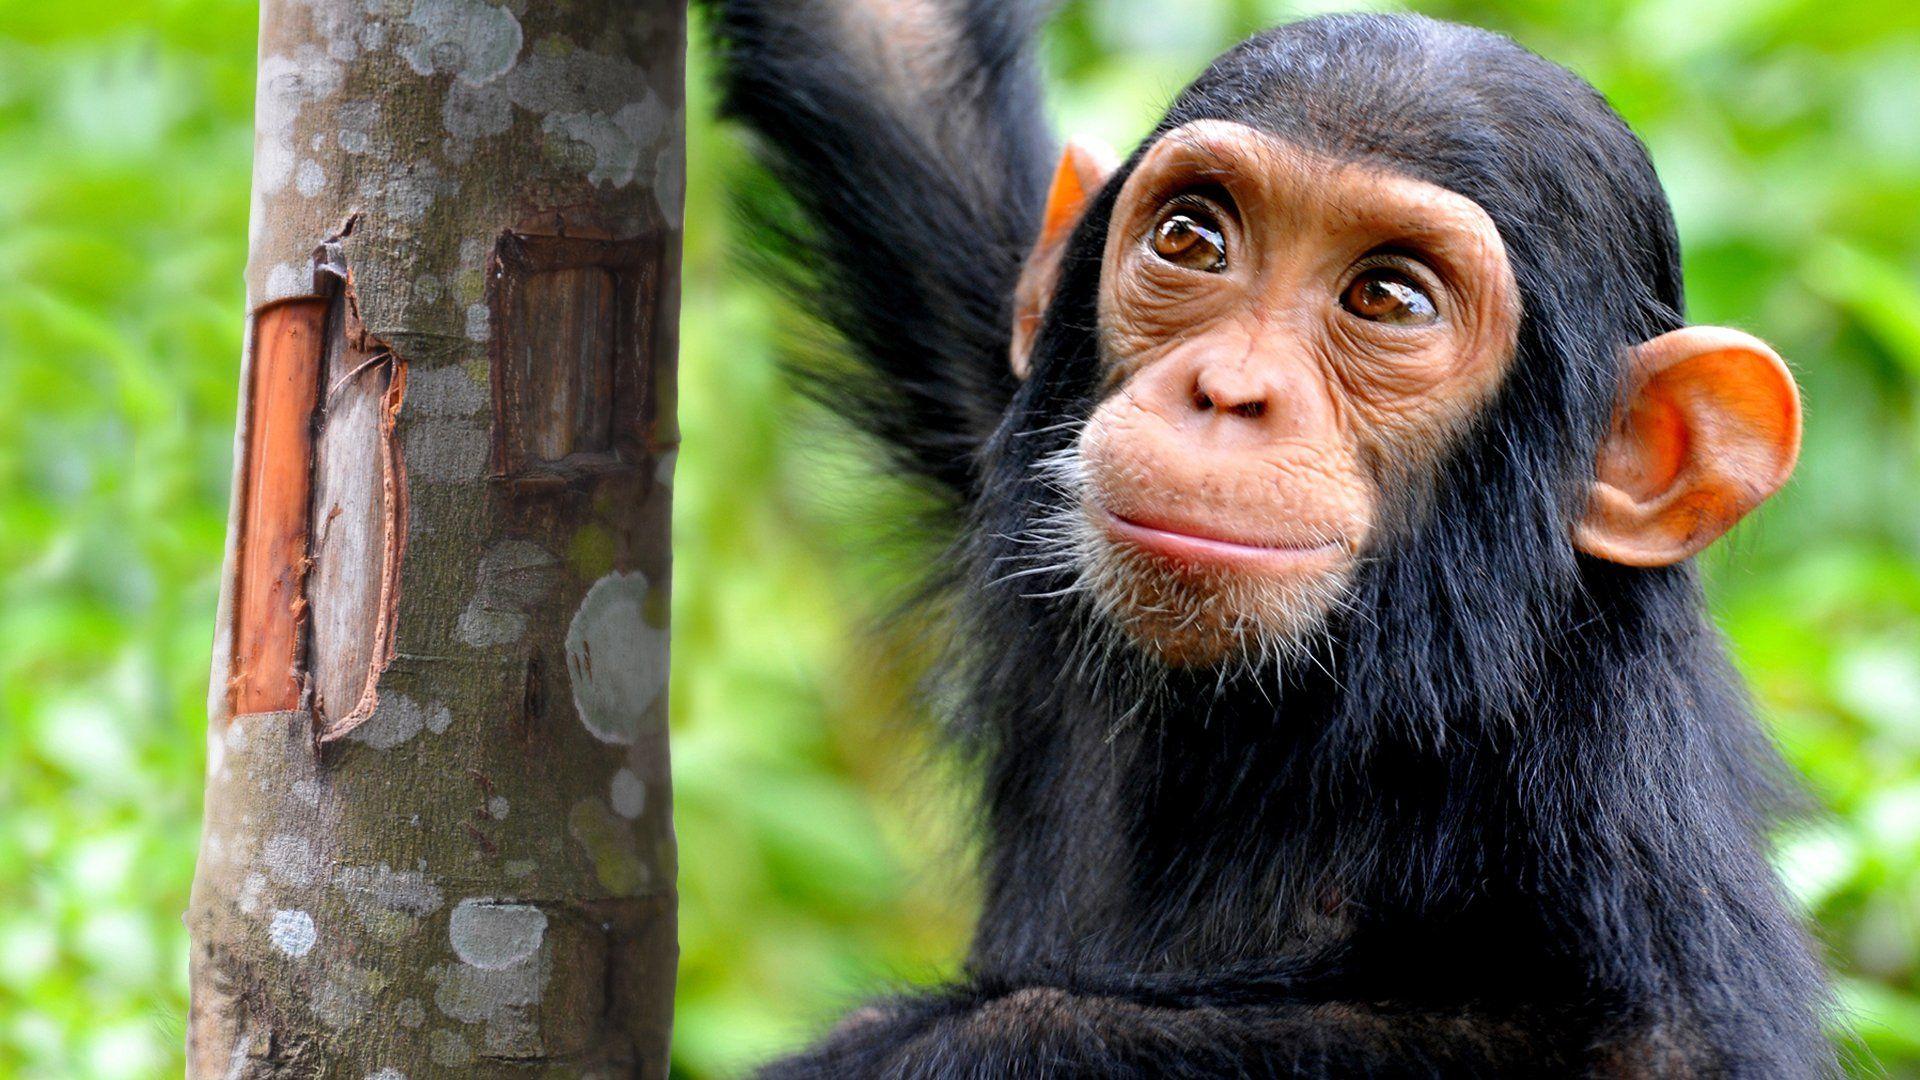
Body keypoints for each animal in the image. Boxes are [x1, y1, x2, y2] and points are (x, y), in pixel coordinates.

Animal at [702, 5, 1841, 1077]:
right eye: (1191, 240)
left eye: (1388, 298)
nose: (1228, 391)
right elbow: (885, 51)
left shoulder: (1617, 837)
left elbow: (1642, 1047)